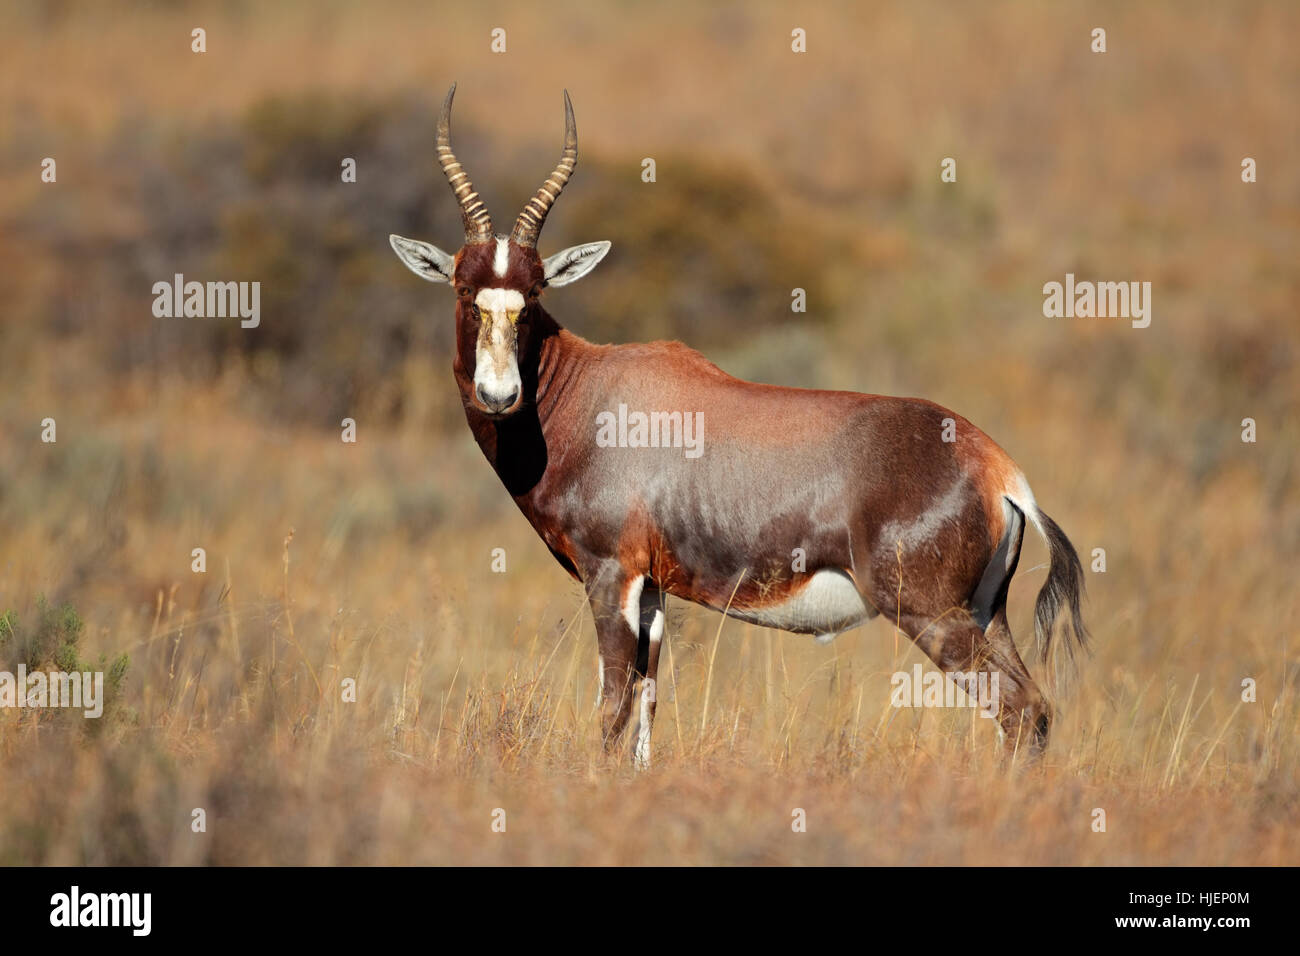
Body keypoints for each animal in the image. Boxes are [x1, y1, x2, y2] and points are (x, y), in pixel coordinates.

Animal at [389, 85, 1088, 767]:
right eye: (464, 290)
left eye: (532, 295)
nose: (499, 395)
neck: (592, 393)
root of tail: (998, 470)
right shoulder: (653, 590)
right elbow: (645, 713)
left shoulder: (611, 576)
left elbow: (612, 709)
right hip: (987, 612)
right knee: (1034, 712)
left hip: (933, 615)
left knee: (1021, 709)